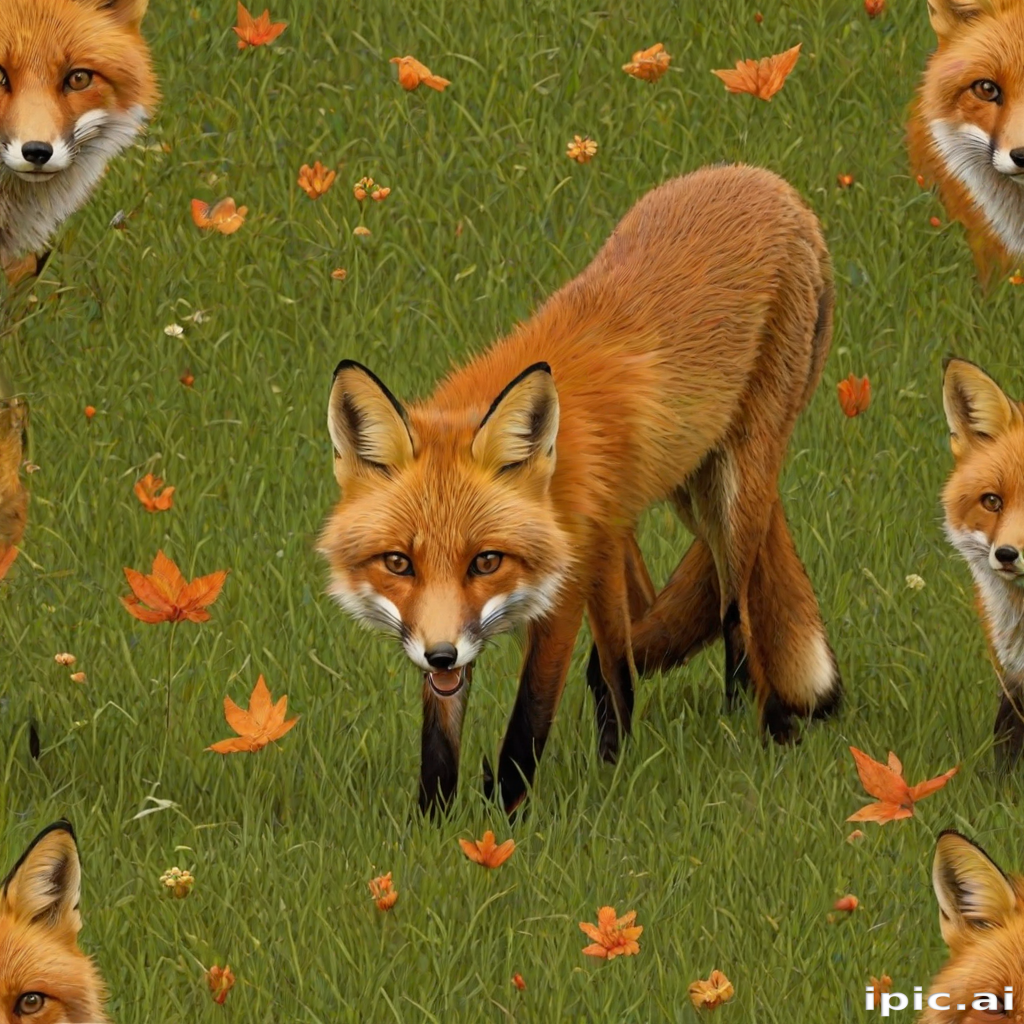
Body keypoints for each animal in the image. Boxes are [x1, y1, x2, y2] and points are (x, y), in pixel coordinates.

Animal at [319, 164, 843, 815]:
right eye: (398, 563)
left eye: (485, 561)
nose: (440, 655)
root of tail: (772, 184)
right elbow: (442, 733)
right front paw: (433, 824)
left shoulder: (563, 594)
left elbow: (531, 716)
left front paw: (507, 814)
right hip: (677, 494)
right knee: (638, 631)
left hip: (734, 489)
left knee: (736, 614)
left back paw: (759, 725)